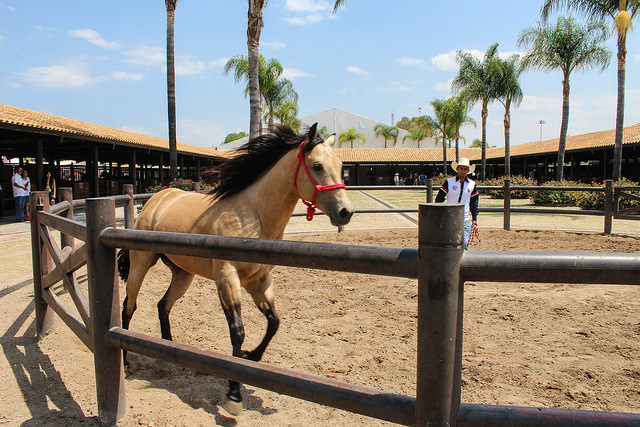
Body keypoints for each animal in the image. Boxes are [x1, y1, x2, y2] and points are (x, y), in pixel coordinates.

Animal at [117, 123, 354, 415]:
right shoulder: (227, 279)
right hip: (141, 264)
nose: (346, 212)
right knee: (129, 307)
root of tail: (158, 198)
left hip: (183, 273)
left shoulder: (259, 281)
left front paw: (251, 357)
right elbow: (238, 331)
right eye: (317, 165)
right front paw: (233, 395)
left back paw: (166, 351)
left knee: (163, 305)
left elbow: (274, 322)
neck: (253, 217)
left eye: (341, 165)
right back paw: (125, 362)